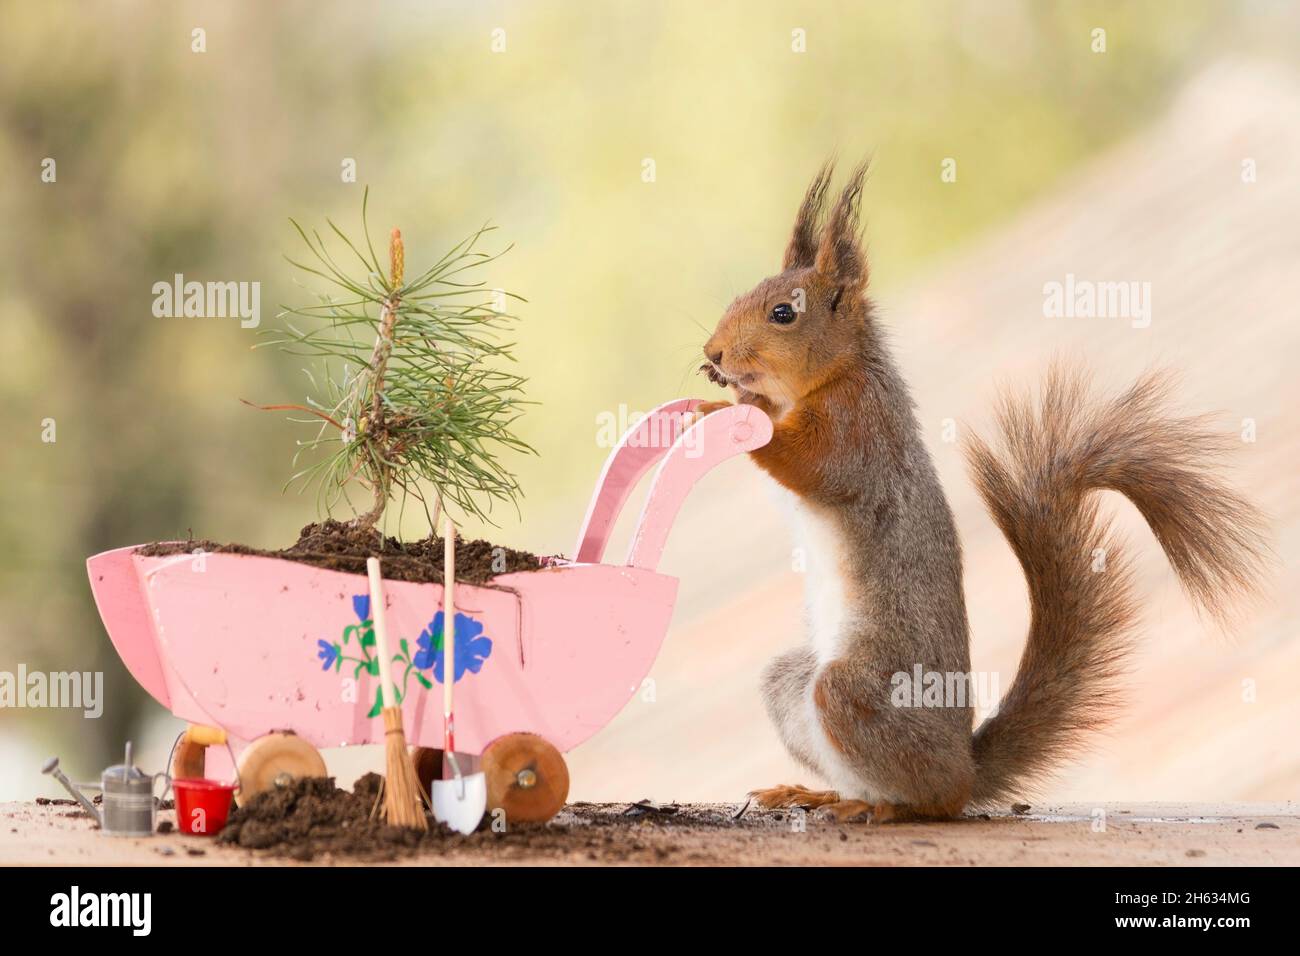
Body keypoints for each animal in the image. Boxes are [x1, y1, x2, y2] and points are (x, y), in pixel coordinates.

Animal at [697, 161, 1269, 821]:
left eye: (784, 314)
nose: (713, 352)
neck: (837, 373)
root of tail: (967, 767)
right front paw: (737, 395)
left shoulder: (858, 430)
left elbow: (811, 465)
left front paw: (720, 411)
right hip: (791, 684)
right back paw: (816, 792)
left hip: (853, 695)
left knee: (931, 797)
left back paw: (887, 807)